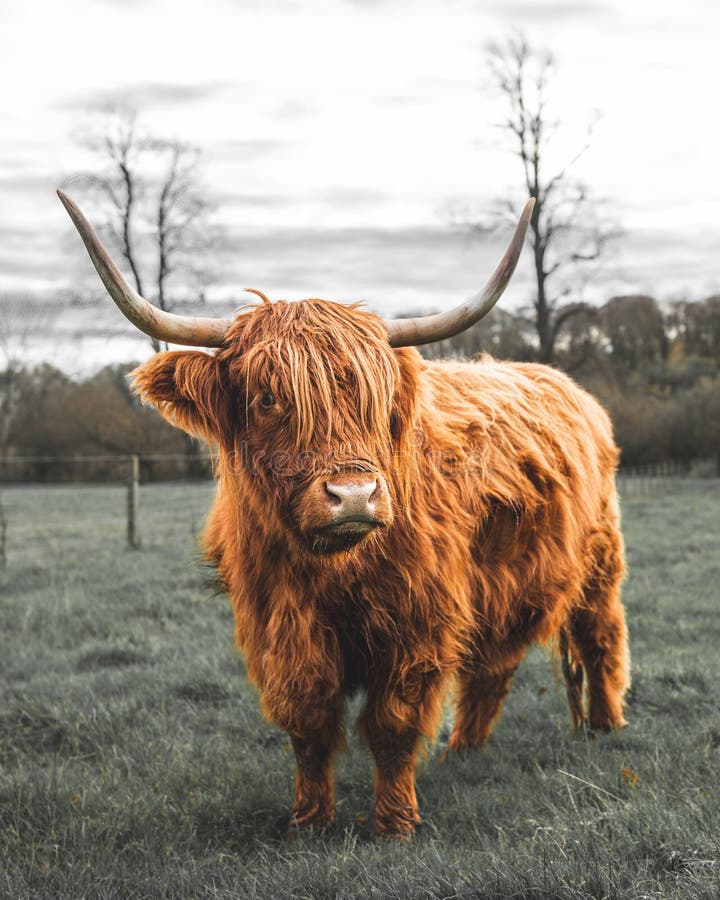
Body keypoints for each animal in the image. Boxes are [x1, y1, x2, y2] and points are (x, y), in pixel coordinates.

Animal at [58, 189, 629, 838]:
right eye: (268, 397)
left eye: (375, 400)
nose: (354, 495)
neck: (334, 572)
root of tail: (564, 384)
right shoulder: (283, 629)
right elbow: (308, 724)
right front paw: (309, 820)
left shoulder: (417, 623)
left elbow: (392, 726)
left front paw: (395, 824)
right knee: (494, 664)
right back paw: (464, 749)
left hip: (599, 563)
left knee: (600, 637)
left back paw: (607, 727)